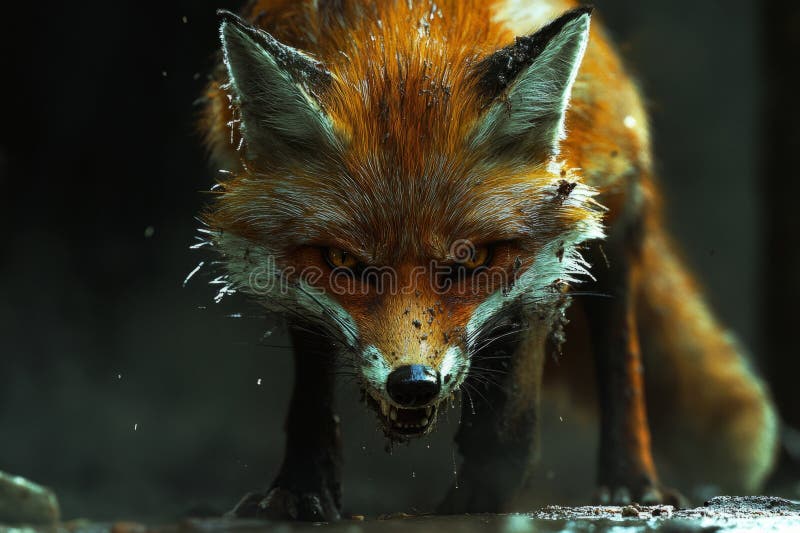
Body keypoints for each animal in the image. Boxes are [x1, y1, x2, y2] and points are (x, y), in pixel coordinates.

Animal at [197, 0, 779, 521]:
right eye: (342, 260)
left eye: (472, 257)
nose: (413, 383)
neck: (403, 32)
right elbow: (311, 396)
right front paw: (300, 490)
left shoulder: (548, 258)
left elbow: (509, 424)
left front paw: (477, 498)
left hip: (617, 207)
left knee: (619, 345)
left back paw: (631, 482)